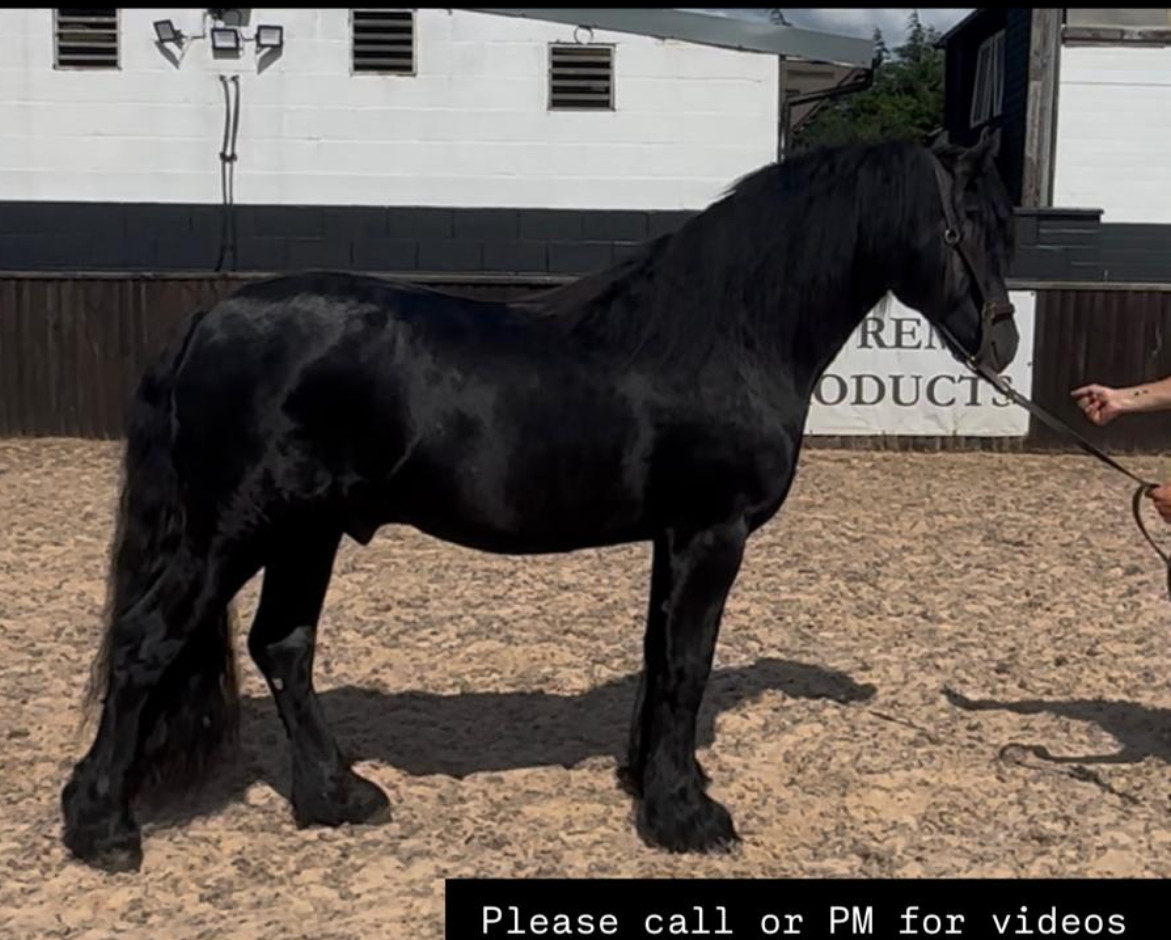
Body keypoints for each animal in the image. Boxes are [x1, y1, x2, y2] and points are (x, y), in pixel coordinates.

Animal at [61, 127, 1018, 873]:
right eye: (968, 223)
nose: (1002, 343)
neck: (725, 332)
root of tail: (206, 322)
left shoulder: (673, 538)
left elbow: (659, 658)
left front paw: (650, 784)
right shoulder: (712, 533)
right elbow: (687, 666)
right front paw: (687, 819)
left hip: (307, 531)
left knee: (282, 646)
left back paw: (338, 797)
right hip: (234, 531)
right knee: (146, 645)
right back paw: (104, 828)